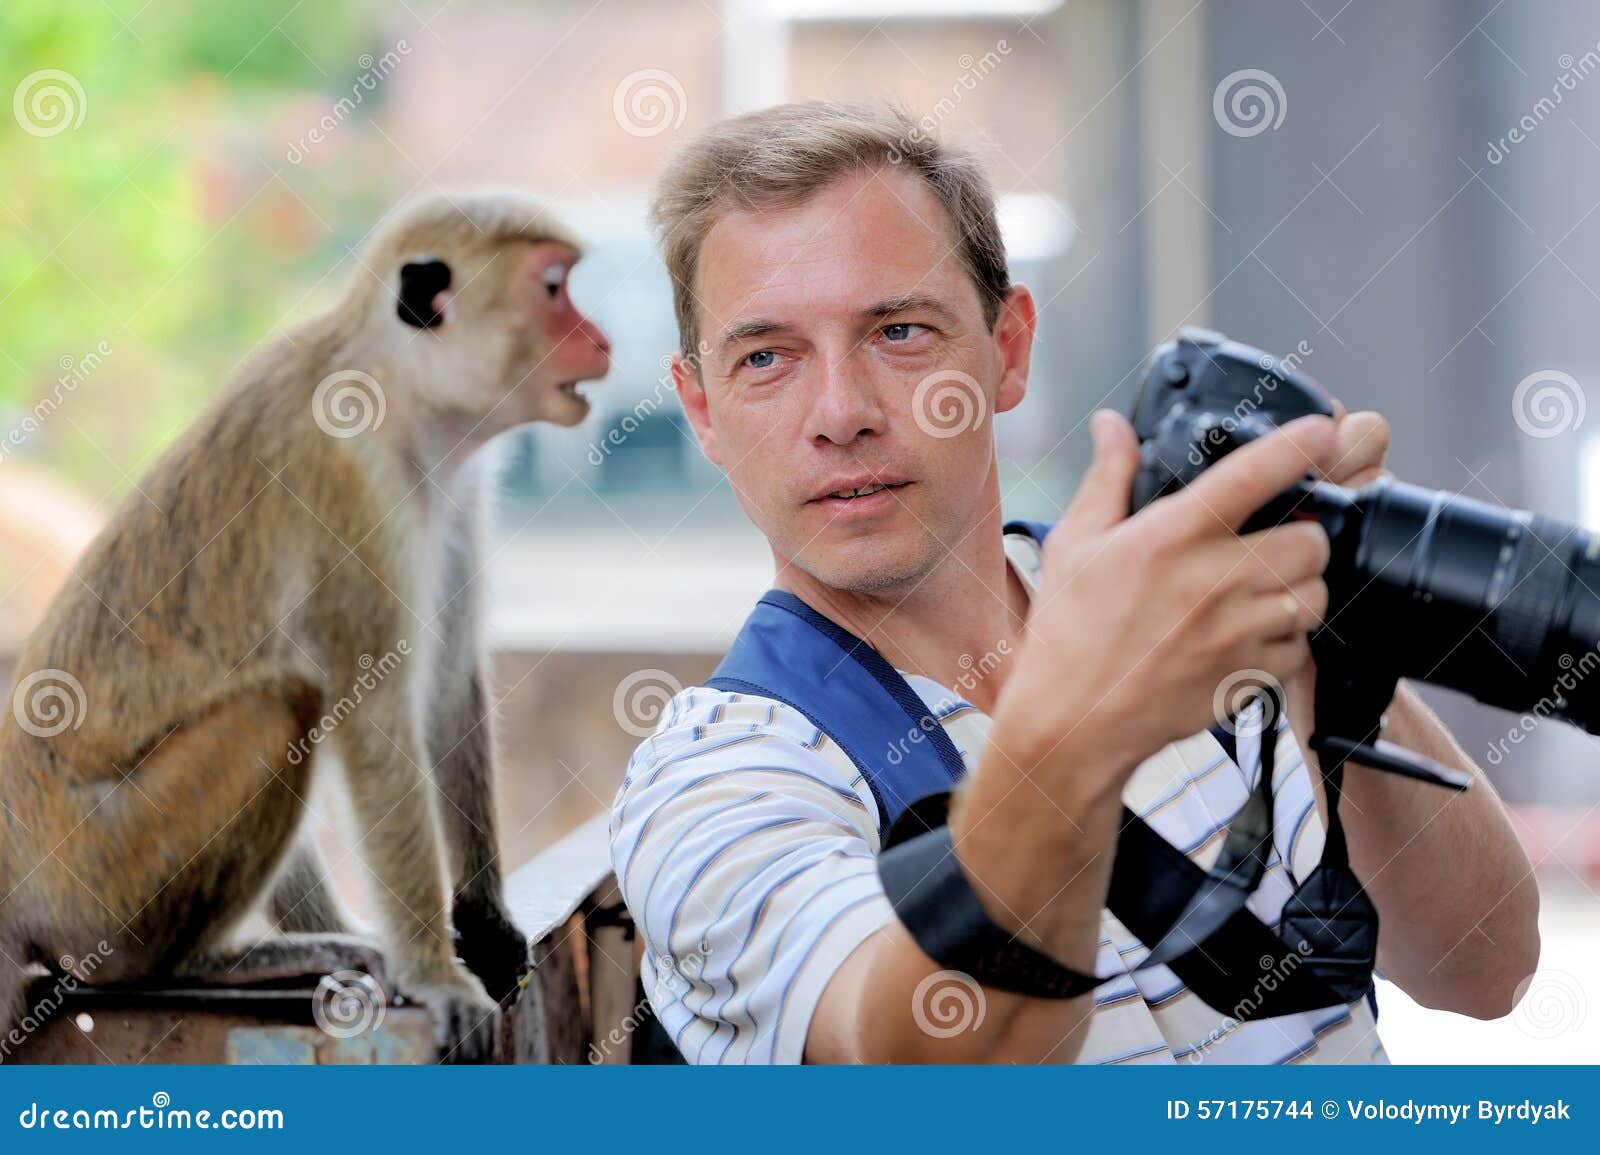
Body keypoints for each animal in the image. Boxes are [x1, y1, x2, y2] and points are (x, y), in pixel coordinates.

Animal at [0, 190, 611, 1062]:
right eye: (555, 288)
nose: (599, 339)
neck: (395, 388)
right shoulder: (354, 489)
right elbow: (377, 715)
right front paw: (435, 975)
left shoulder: (454, 487)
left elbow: (445, 689)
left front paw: (484, 926)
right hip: (97, 870)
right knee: (282, 703)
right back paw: (193, 963)